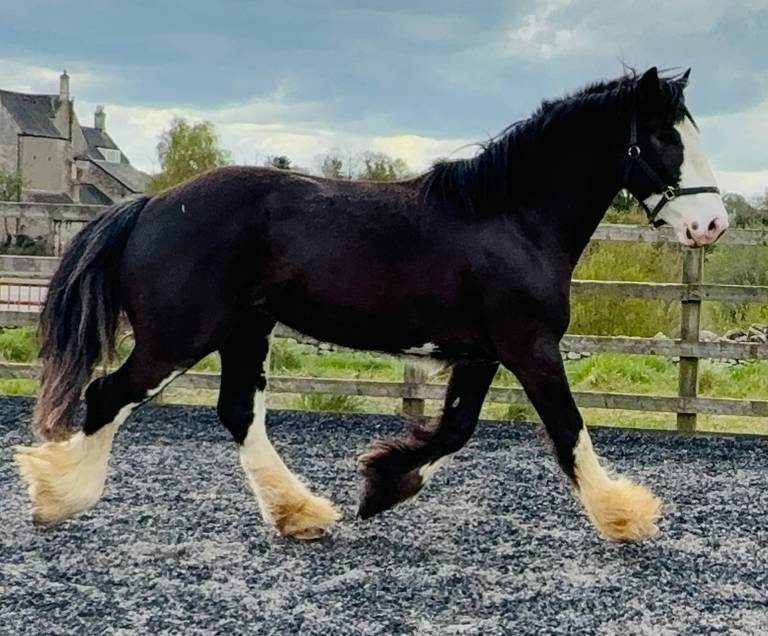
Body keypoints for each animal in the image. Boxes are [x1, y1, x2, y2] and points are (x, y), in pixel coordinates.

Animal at [14, 67, 727, 542]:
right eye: (666, 139)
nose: (714, 224)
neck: (511, 218)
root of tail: (150, 206)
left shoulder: (481, 355)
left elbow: (456, 429)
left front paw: (383, 485)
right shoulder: (530, 349)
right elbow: (569, 430)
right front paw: (626, 514)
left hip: (246, 330)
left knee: (238, 413)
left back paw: (301, 513)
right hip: (179, 337)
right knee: (108, 394)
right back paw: (58, 497)